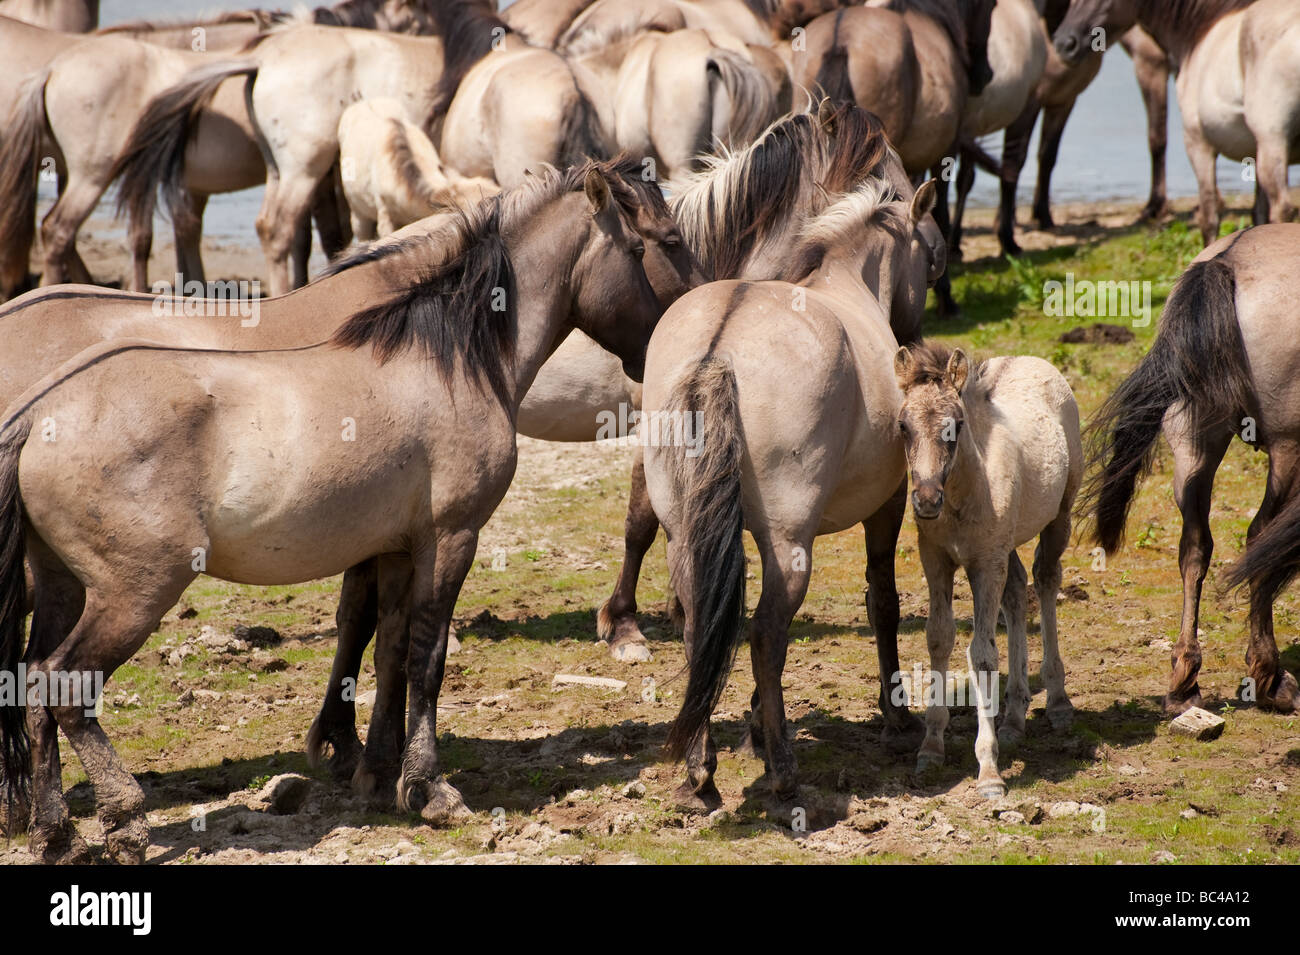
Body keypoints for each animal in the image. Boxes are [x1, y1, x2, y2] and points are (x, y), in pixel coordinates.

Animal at [0, 164, 663, 865]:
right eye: (640, 248)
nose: (652, 349)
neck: (451, 362)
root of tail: (38, 415)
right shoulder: (451, 538)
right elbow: (428, 659)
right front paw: (430, 790)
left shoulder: (396, 548)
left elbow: (389, 649)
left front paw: (379, 774)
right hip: (135, 591)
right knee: (63, 687)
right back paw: (124, 820)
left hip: (65, 587)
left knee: (33, 687)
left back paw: (55, 832)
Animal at [645, 177, 937, 808]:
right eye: (931, 255)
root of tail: (719, 346)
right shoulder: (887, 506)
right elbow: (884, 603)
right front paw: (897, 717)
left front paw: (754, 723)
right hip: (788, 542)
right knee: (765, 634)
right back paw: (782, 768)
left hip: (684, 536)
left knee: (699, 625)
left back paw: (700, 768)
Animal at [893, 343, 1080, 798]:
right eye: (903, 425)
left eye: (957, 425)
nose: (926, 499)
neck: (963, 497)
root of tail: (1033, 359)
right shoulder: (936, 559)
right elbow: (939, 638)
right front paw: (931, 747)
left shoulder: (986, 564)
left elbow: (981, 653)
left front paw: (989, 770)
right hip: (1007, 544)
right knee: (1016, 593)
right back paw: (1013, 717)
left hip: (1059, 516)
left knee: (1045, 580)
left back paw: (1058, 701)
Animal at [1054, 0, 1299, 244]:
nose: (1063, 44)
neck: (1200, 32)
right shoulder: (1253, 150)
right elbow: (1257, 215)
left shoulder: (1197, 142)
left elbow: (1209, 217)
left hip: (1272, 141)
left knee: (1283, 209)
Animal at [1082, 223, 1300, 717]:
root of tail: (1227, 261)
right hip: (1288, 446)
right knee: (1261, 536)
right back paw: (1268, 675)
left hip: (1192, 440)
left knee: (1195, 546)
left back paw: (1185, 680)